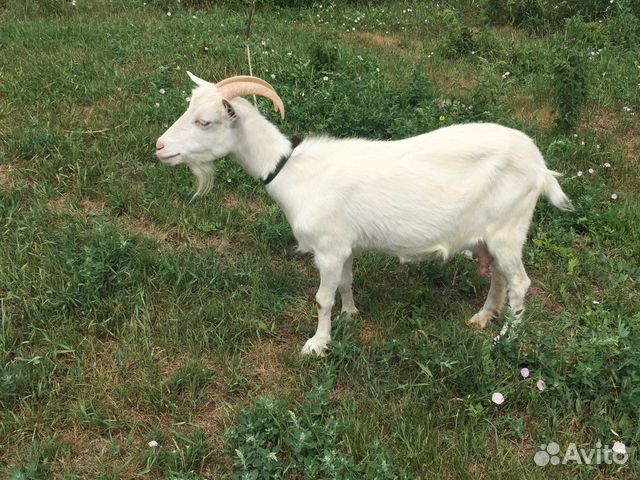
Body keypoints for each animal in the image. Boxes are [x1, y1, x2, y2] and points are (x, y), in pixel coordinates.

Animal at [156, 72, 573, 355]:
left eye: (205, 121)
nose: (160, 146)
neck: (292, 170)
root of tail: (540, 167)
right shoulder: (345, 245)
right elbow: (346, 282)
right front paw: (351, 315)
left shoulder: (327, 248)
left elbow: (322, 298)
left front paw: (317, 343)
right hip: (494, 234)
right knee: (500, 278)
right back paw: (484, 318)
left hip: (509, 228)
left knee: (520, 283)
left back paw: (507, 339)